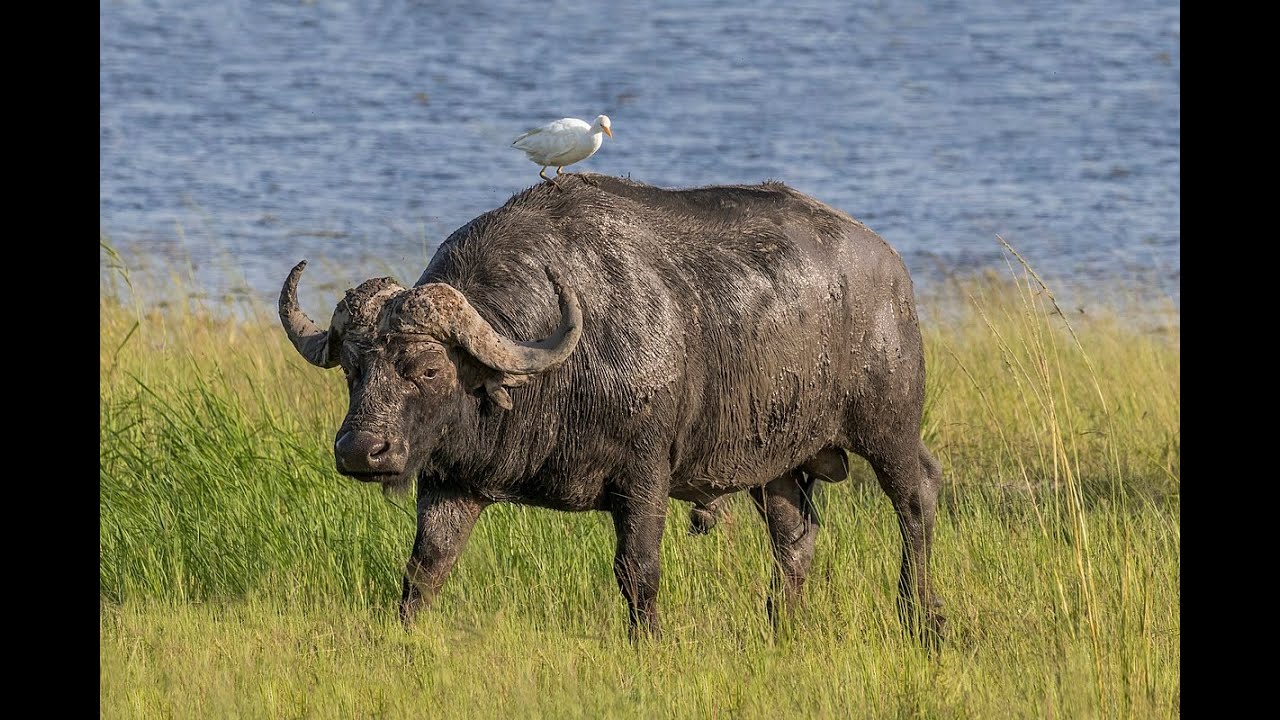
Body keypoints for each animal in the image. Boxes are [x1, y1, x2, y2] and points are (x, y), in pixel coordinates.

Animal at [279, 173, 945, 641]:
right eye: (354, 369)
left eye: (427, 369)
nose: (361, 451)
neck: (556, 373)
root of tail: (890, 268)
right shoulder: (452, 482)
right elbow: (426, 567)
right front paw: (404, 635)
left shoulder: (645, 475)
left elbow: (637, 568)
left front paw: (647, 641)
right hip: (774, 464)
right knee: (795, 539)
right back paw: (777, 627)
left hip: (889, 429)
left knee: (917, 502)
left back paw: (923, 619)